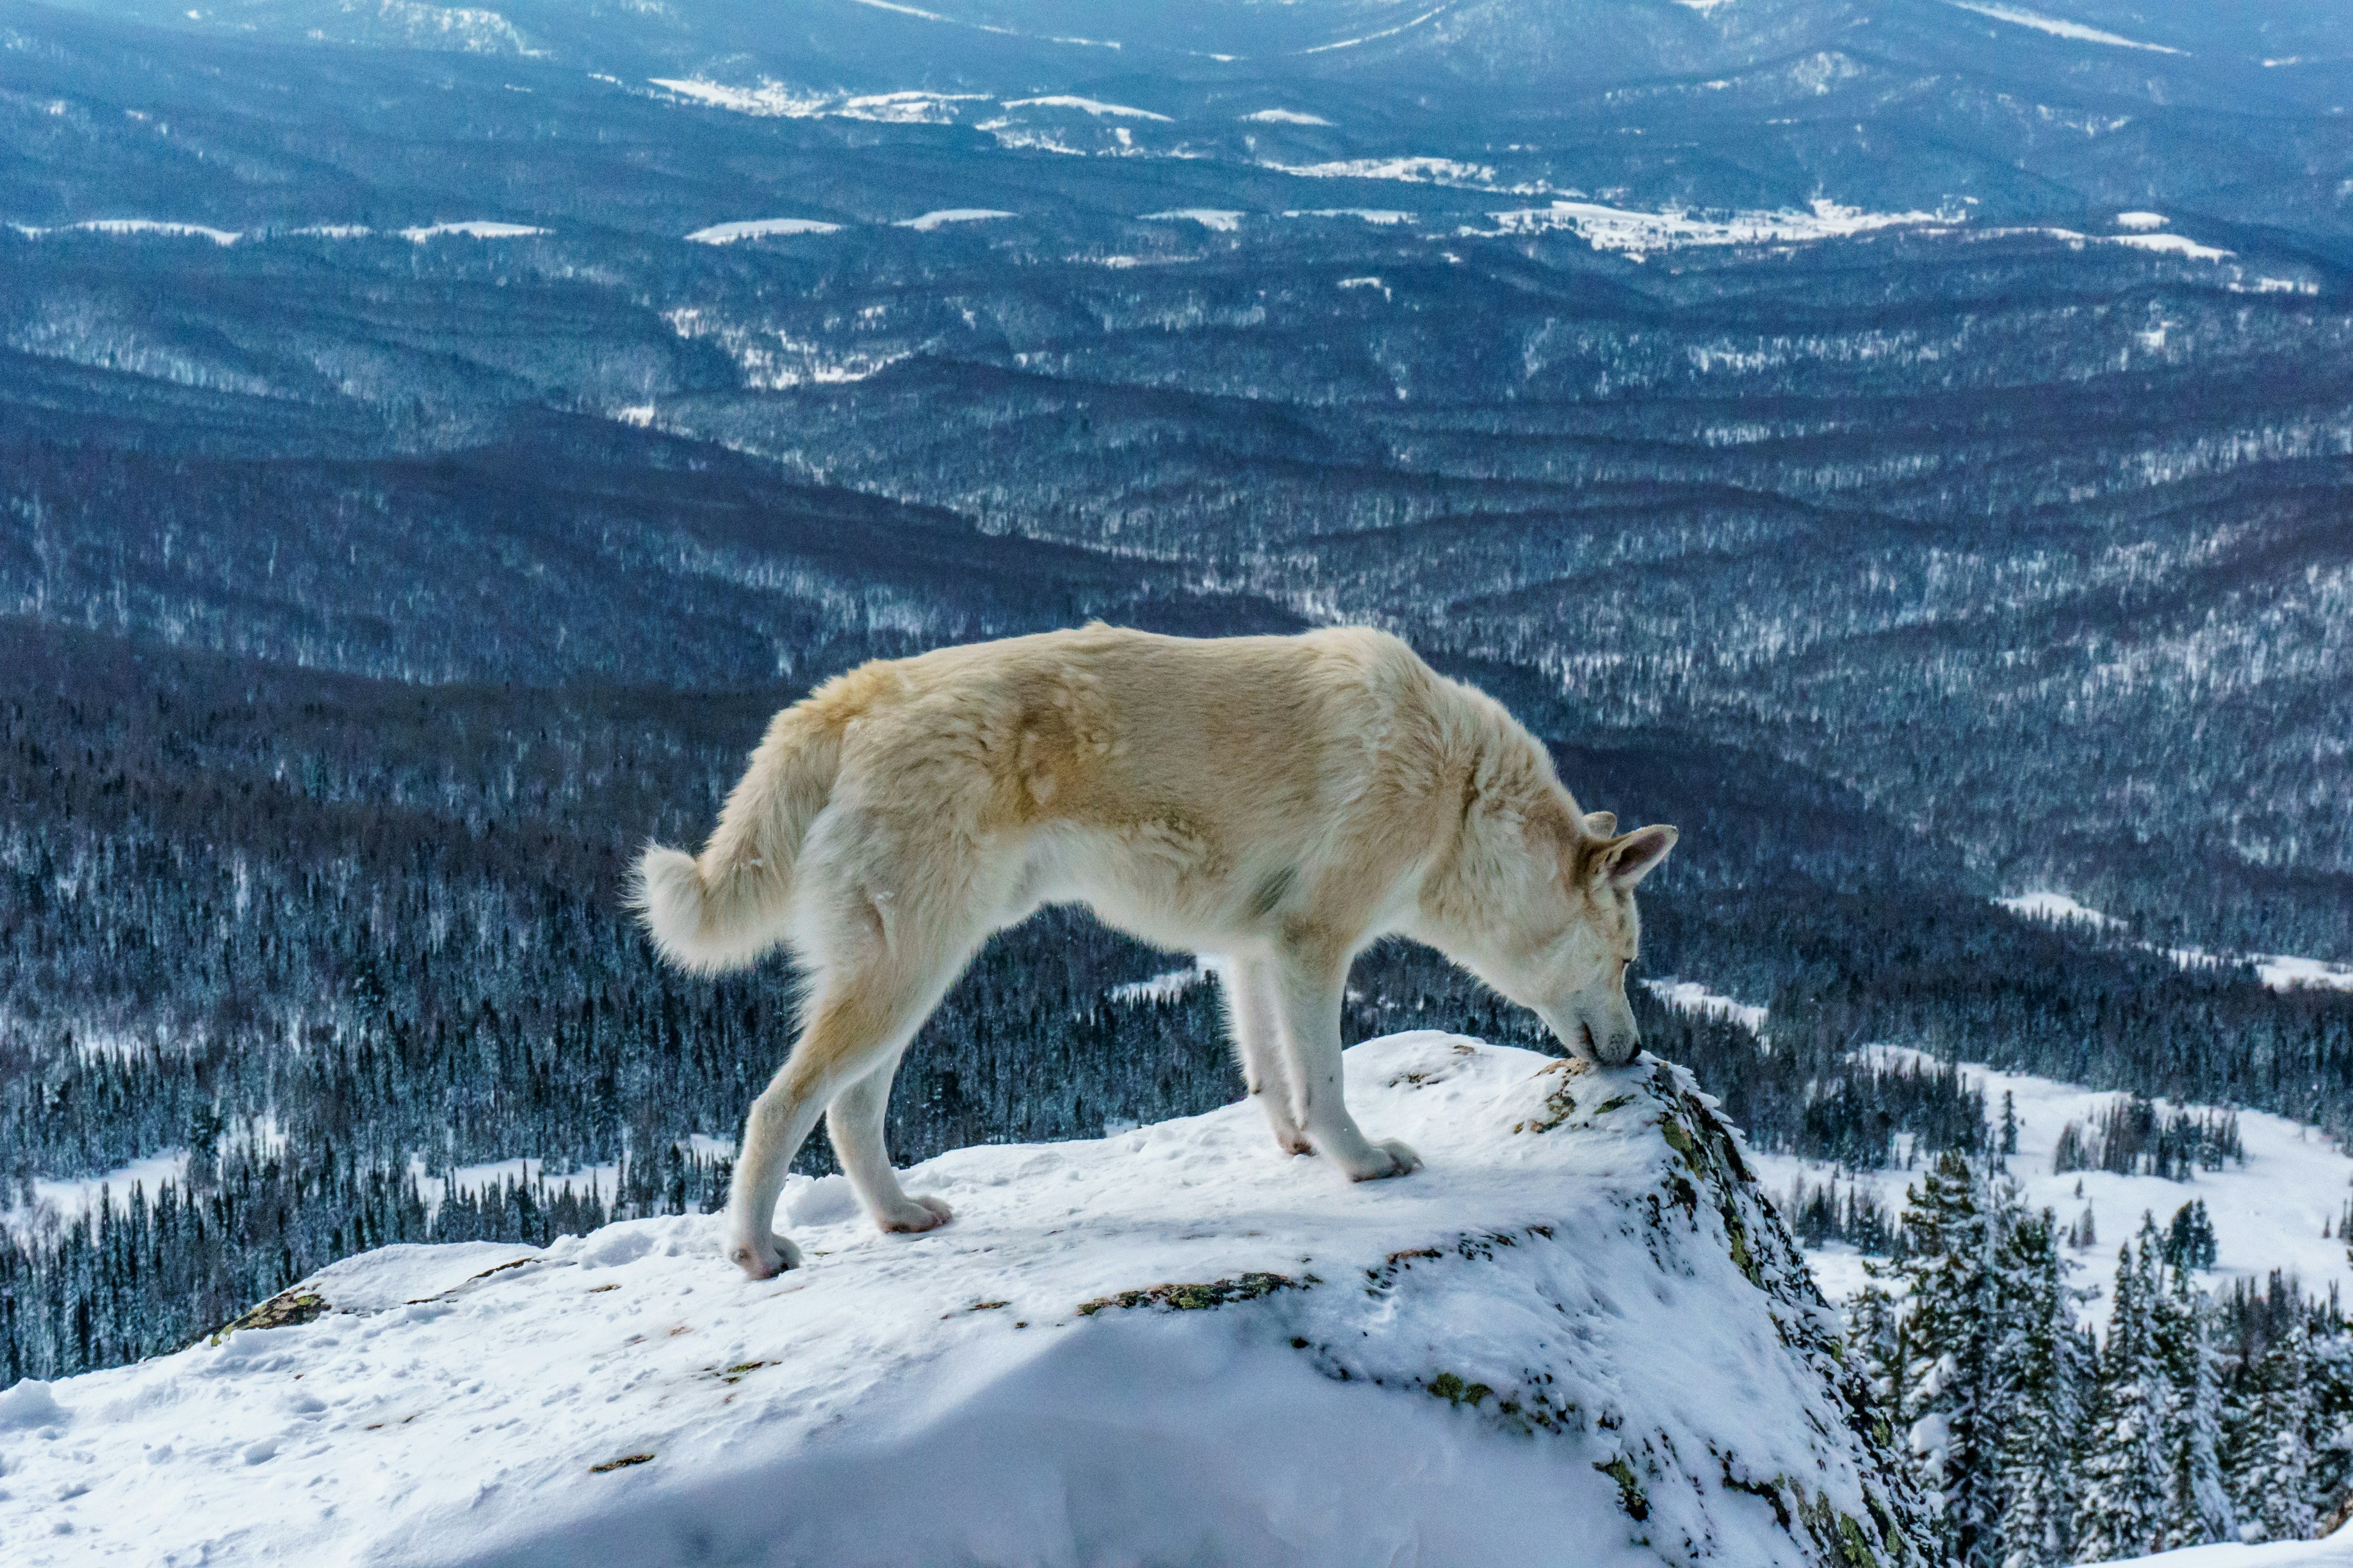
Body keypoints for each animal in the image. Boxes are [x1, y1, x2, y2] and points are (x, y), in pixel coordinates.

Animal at [635, 625, 1678, 1279]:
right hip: (907, 973)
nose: (1634, 1053)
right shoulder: (1312, 945)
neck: (1459, 794)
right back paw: (755, 1253)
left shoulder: (1253, 952)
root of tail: (853, 695)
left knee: (850, 1112)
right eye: (1629, 961)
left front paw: (1297, 1150)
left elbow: (1271, 1076)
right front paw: (1358, 1162)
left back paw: (898, 1216)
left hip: (918, 975)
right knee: (778, 1107)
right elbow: (1327, 1079)